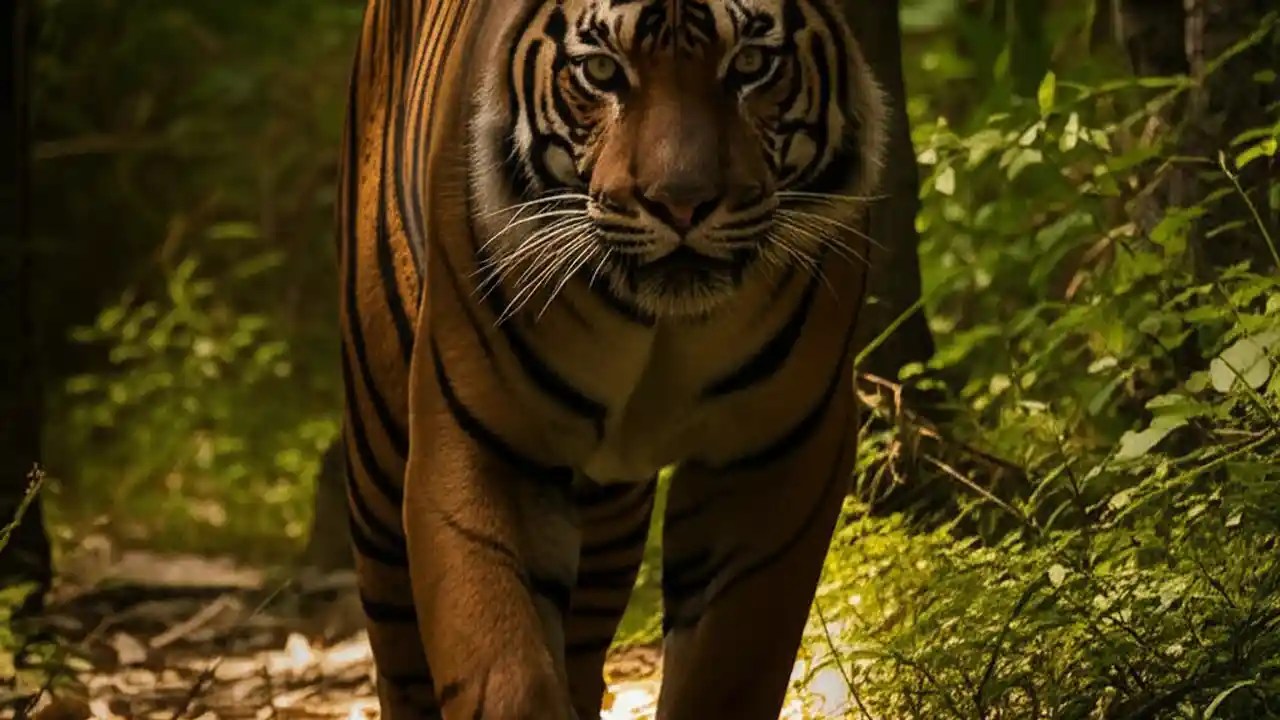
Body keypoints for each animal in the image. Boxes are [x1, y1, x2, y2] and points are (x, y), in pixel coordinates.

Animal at [336, 0, 887, 718]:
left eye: (750, 63)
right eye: (601, 71)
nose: (680, 202)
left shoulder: (775, 454)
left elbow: (728, 668)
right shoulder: (480, 439)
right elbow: (501, 665)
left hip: (610, 517)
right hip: (378, 456)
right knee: (402, 656)